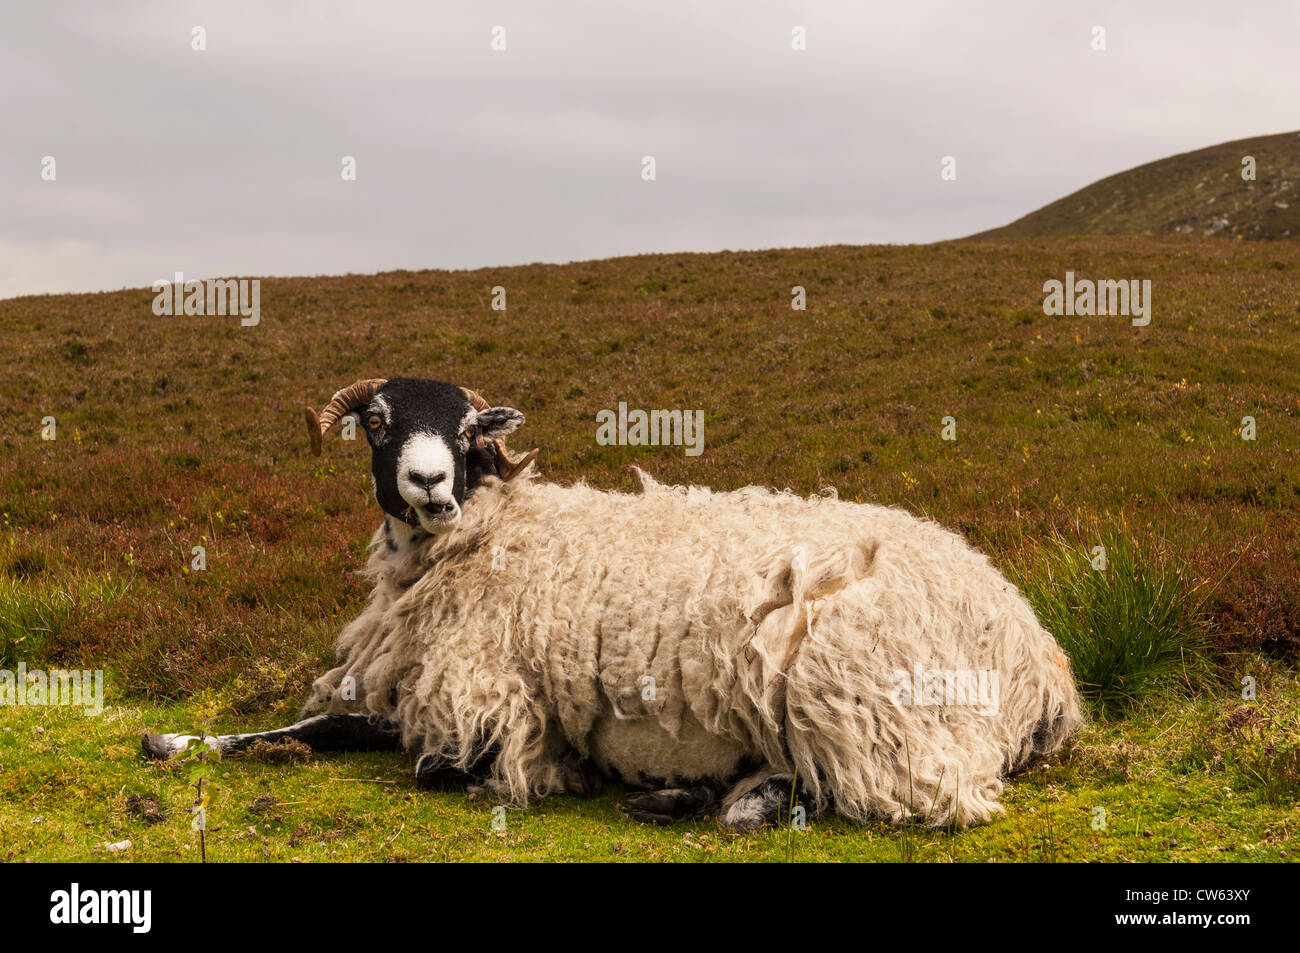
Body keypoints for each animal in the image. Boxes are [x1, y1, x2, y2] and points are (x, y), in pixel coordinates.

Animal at [144, 377, 1082, 830]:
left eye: (468, 430)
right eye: (376, 421)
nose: (430, 483)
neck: (492, 531)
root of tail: (1036, 651)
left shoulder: (488, 697)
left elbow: (431, 763)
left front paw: (554, 773)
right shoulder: (418, 691)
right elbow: (315, 724)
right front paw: (177, 740)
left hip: (860, 697)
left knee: (915, 792)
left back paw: (720, 799)